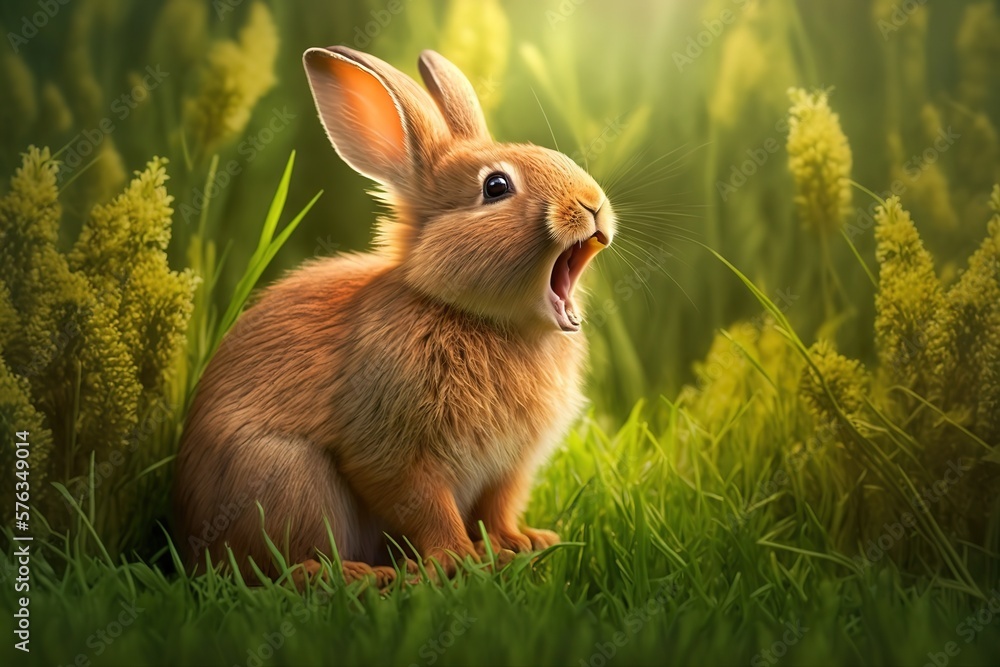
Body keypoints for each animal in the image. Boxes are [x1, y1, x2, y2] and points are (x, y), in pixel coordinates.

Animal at [173, 45, 615, 587]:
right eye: (496, 186)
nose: (592, 204)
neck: (469, 313)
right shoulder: (394, 448)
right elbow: (425, 504)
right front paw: (457, 559)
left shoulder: (508, 466)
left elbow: (497, 507)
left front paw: (521, 543)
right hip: (289, 477)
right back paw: (357, 575)